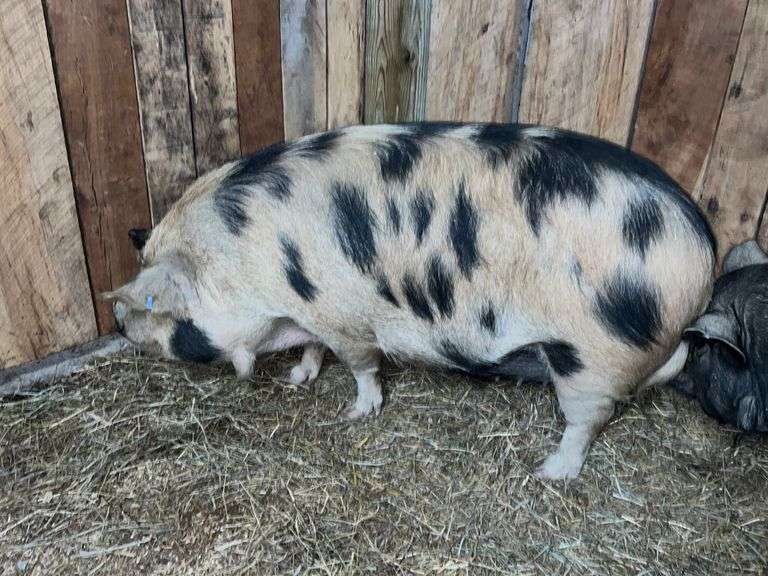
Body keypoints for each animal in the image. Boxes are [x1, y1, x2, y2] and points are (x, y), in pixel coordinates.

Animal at [105, 122, 716, 479]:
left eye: (154, 304)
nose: (115, 319)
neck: (249, 259)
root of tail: (703, 251)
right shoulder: (310, 314)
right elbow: (313, 350)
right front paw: (297, 379)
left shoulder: (343, 314)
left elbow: (360, 364)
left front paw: (355, 412)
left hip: (592, 352)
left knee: (588, 419)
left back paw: (550, 472)